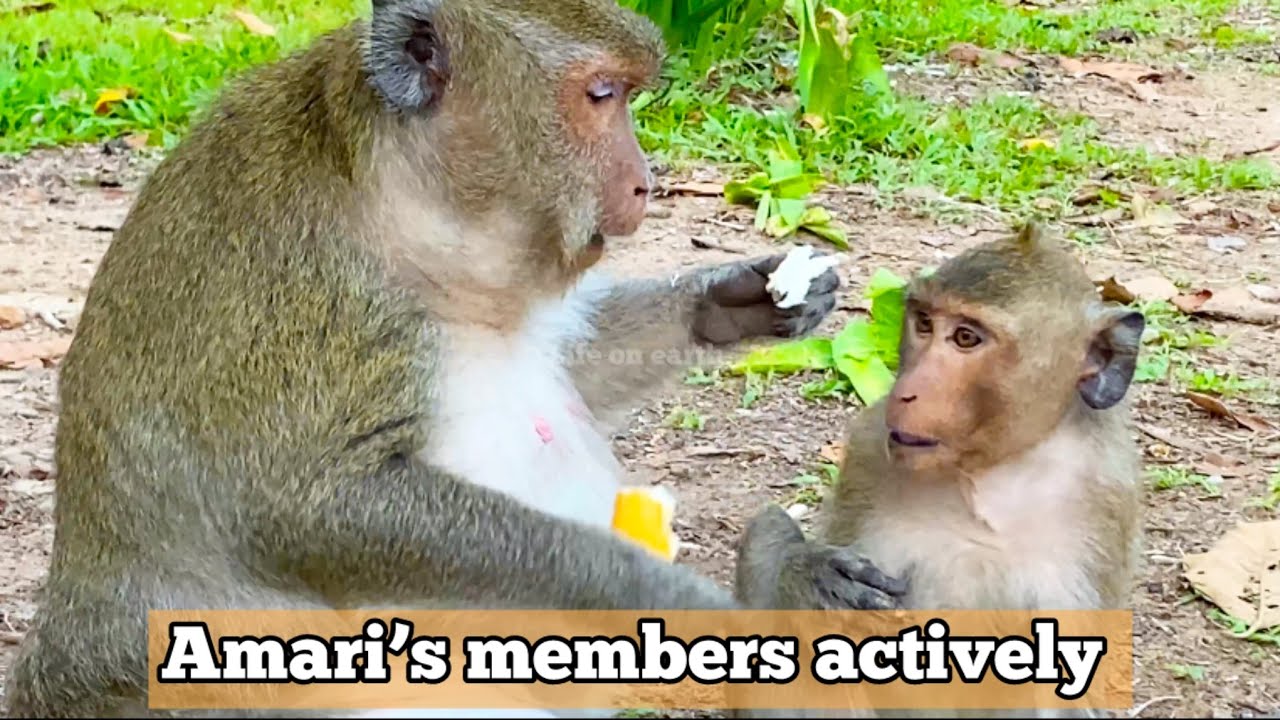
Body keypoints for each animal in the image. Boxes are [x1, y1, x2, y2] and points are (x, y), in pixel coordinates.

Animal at [3, 0, 905, 717]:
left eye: (625, 99)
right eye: (602, 97)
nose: (645, 182)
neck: (408, 220)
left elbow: (577, 368)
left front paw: (733, 301)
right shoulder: (315, 303)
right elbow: (304, 507)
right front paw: (667, 599)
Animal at [734, 222, 1145, 719]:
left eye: (967, 338)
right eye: (924, 324)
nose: (906, 392)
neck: (987, 474)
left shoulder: (1106, 499)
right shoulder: (869, 445)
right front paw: (812, 577)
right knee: (768, 527)